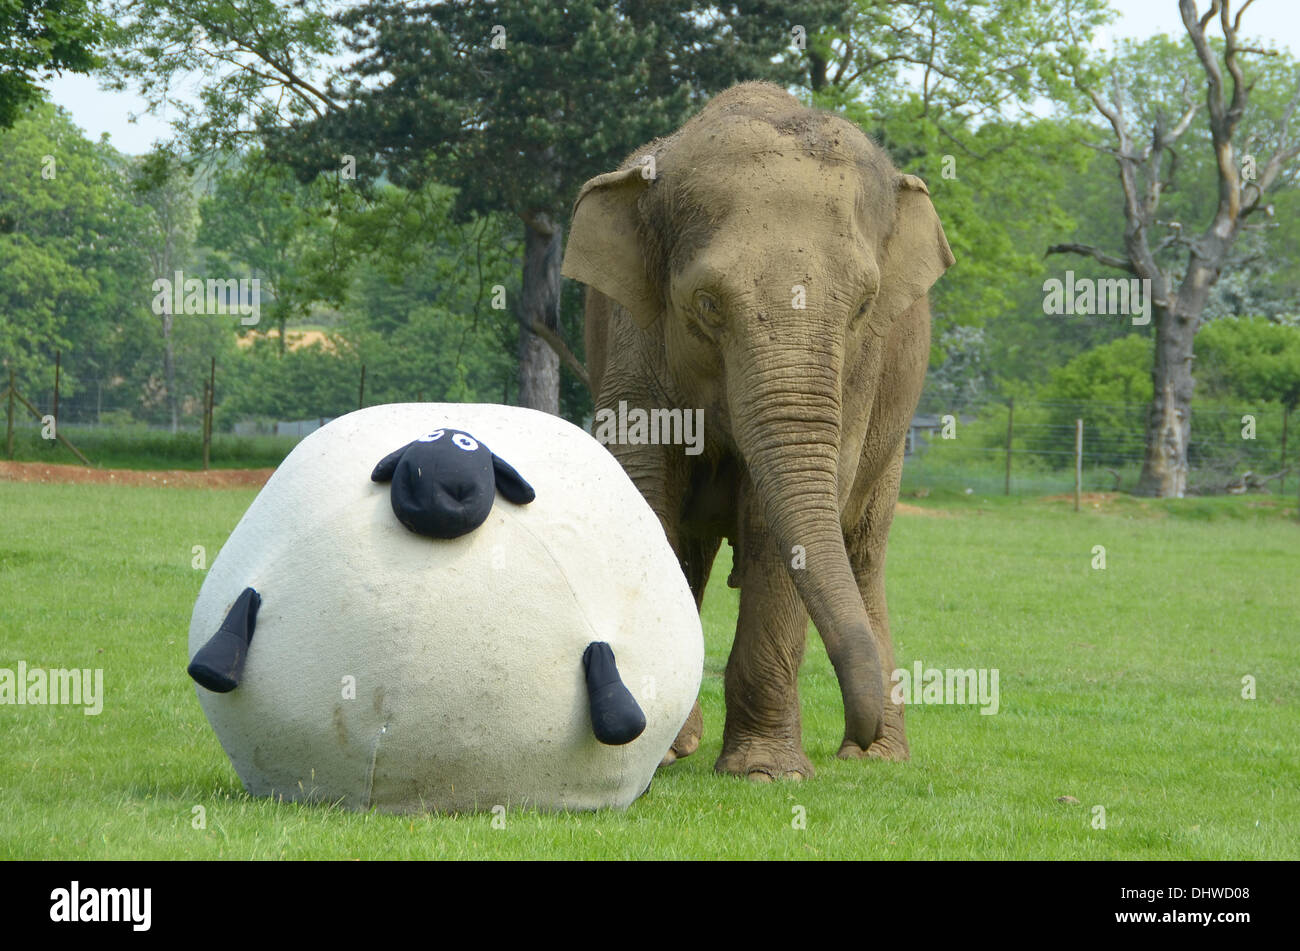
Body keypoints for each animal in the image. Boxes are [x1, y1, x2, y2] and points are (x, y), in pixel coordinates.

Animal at [561, 81, 954, 780]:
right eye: (706, 304)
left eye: (862, 306)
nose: (860, 727)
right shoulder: (637, 333)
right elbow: (646, 484)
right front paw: (661, 751)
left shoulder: (859, 374)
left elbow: (781, 521)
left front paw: (765, 773)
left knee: (862, 552)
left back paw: (879, 759)